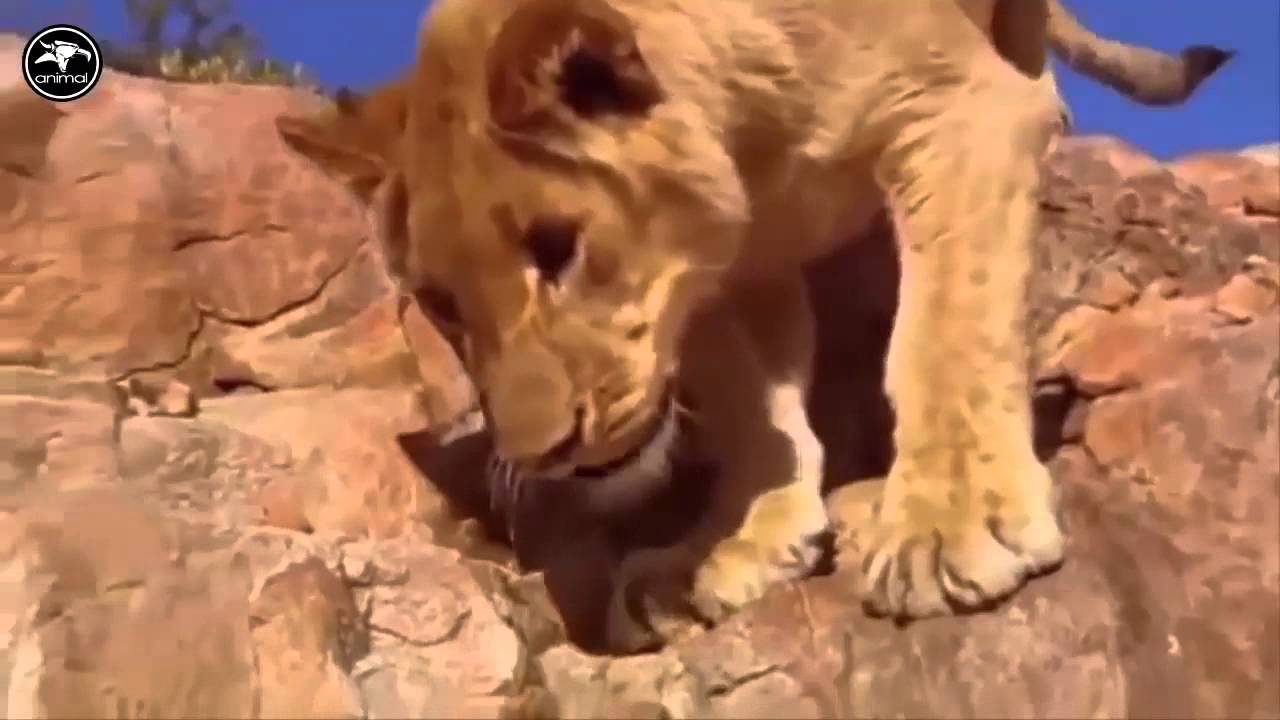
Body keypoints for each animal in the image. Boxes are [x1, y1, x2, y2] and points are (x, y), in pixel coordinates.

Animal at [276, 0, 1229, 652]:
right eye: (441, 303)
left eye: (558, 248)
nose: (548, 454)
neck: (748, 139)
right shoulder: (729, 261)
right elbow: (753, 405)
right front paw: (734, 543)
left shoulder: (958, 106)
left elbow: (949, 322)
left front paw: (949, 524)